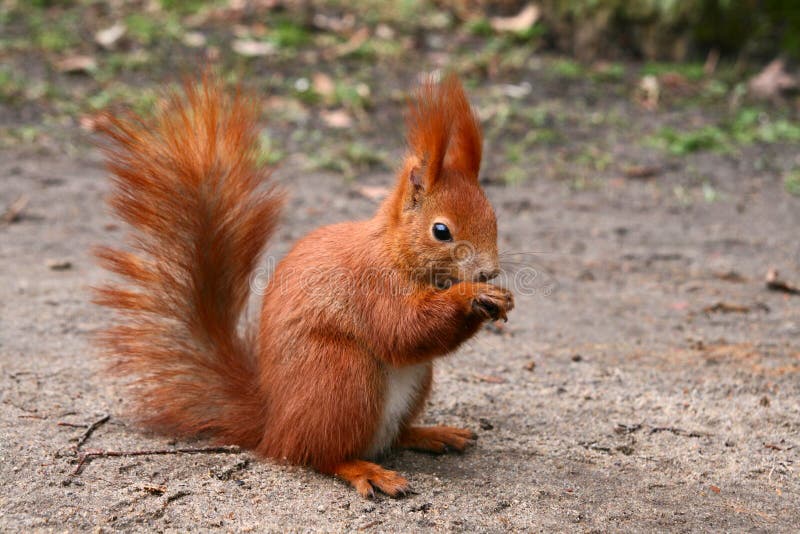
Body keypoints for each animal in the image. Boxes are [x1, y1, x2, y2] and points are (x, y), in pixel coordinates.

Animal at [93, 73, 514, 498]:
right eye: (441, 231)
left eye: (494, 217)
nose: (489, 273)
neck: (394, 250)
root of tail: (273, 427)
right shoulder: (370, 285)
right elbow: (402, 331)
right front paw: (471, 296)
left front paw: (501, 299)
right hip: (340, 376)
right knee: (320, 454)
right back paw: (365, 470)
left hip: (409, 383)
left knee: (391, 437)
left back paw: (430, 433)